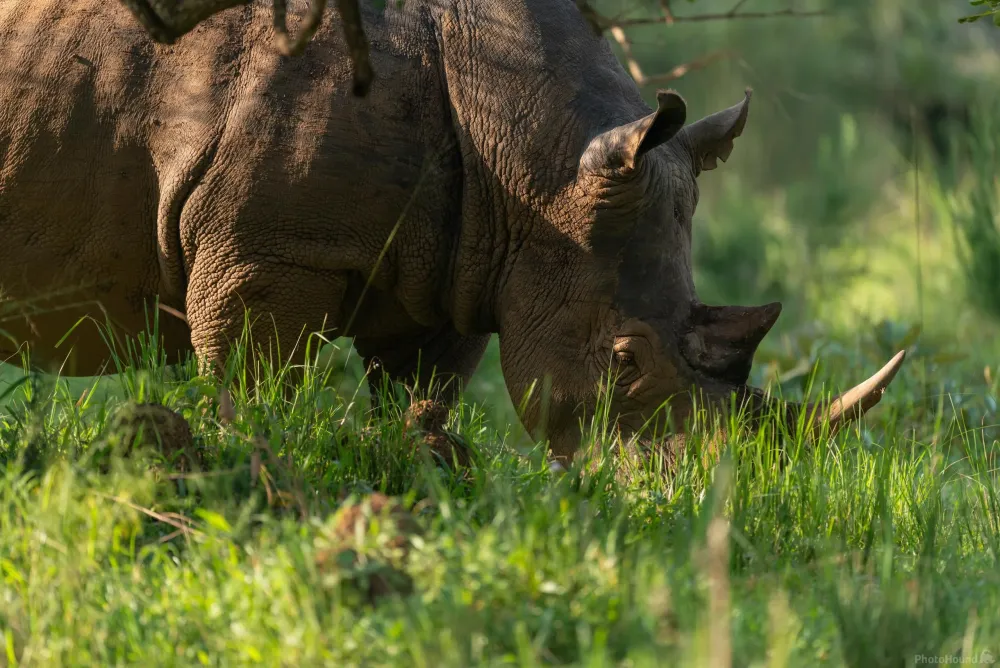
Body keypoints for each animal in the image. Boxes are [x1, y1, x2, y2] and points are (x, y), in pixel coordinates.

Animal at [0, 0, 905, 461]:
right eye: (623, 361)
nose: (709, 489)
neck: (537, 160)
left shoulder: (464, 265)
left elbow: (421, 394)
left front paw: (418, 468)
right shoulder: (263, 252)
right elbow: (256, 385)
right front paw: (250, 466)